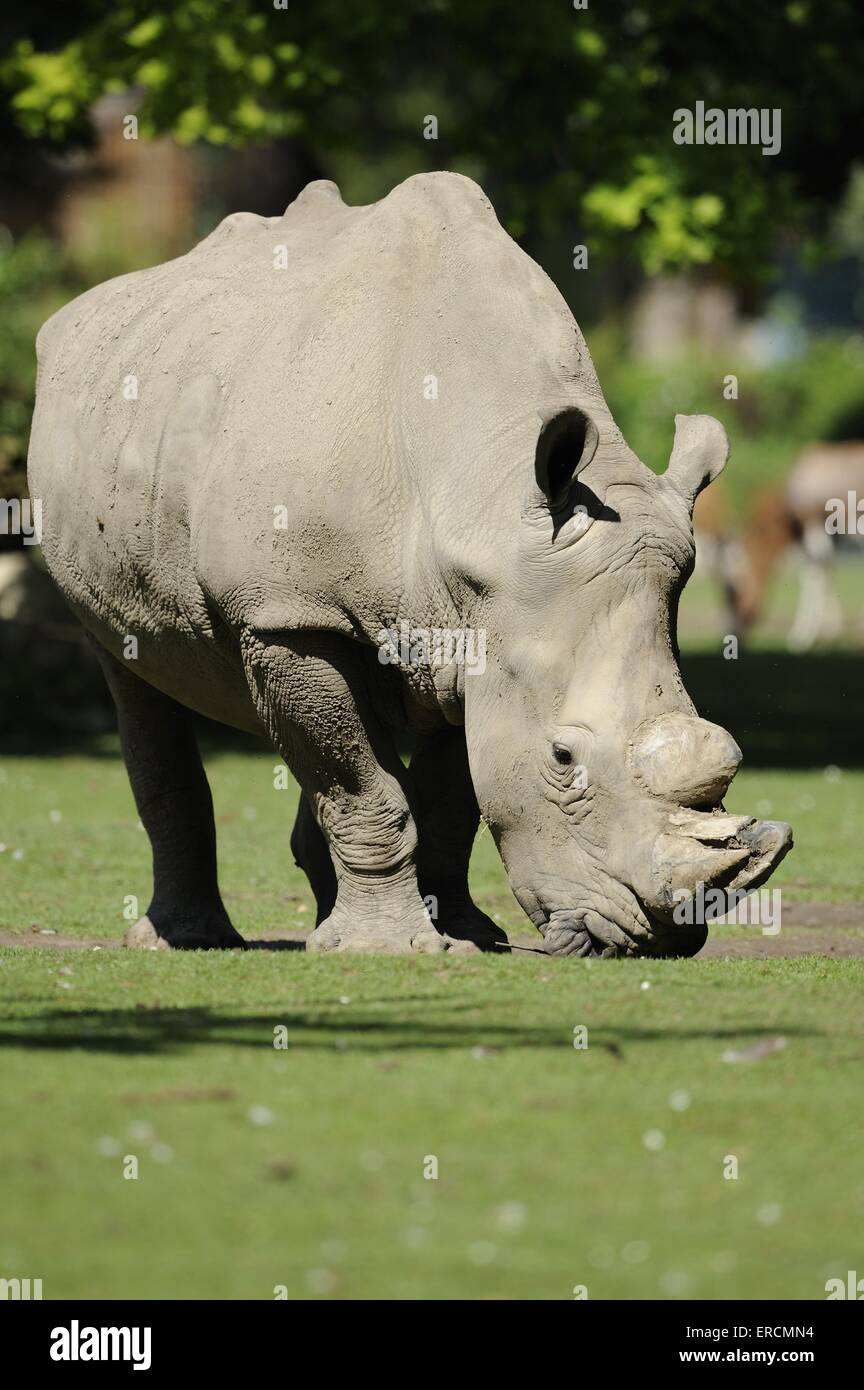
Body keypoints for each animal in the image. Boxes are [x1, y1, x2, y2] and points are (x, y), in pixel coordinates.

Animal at [27, 172, 791, 958]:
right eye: (562, 760)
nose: (657, 940)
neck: (487, 500)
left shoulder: (485, 623)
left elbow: (451, 794)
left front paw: (466, 936)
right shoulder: (290, 614)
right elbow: (367, 789)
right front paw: (393, 950)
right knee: (135, 672)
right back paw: (190, 941)